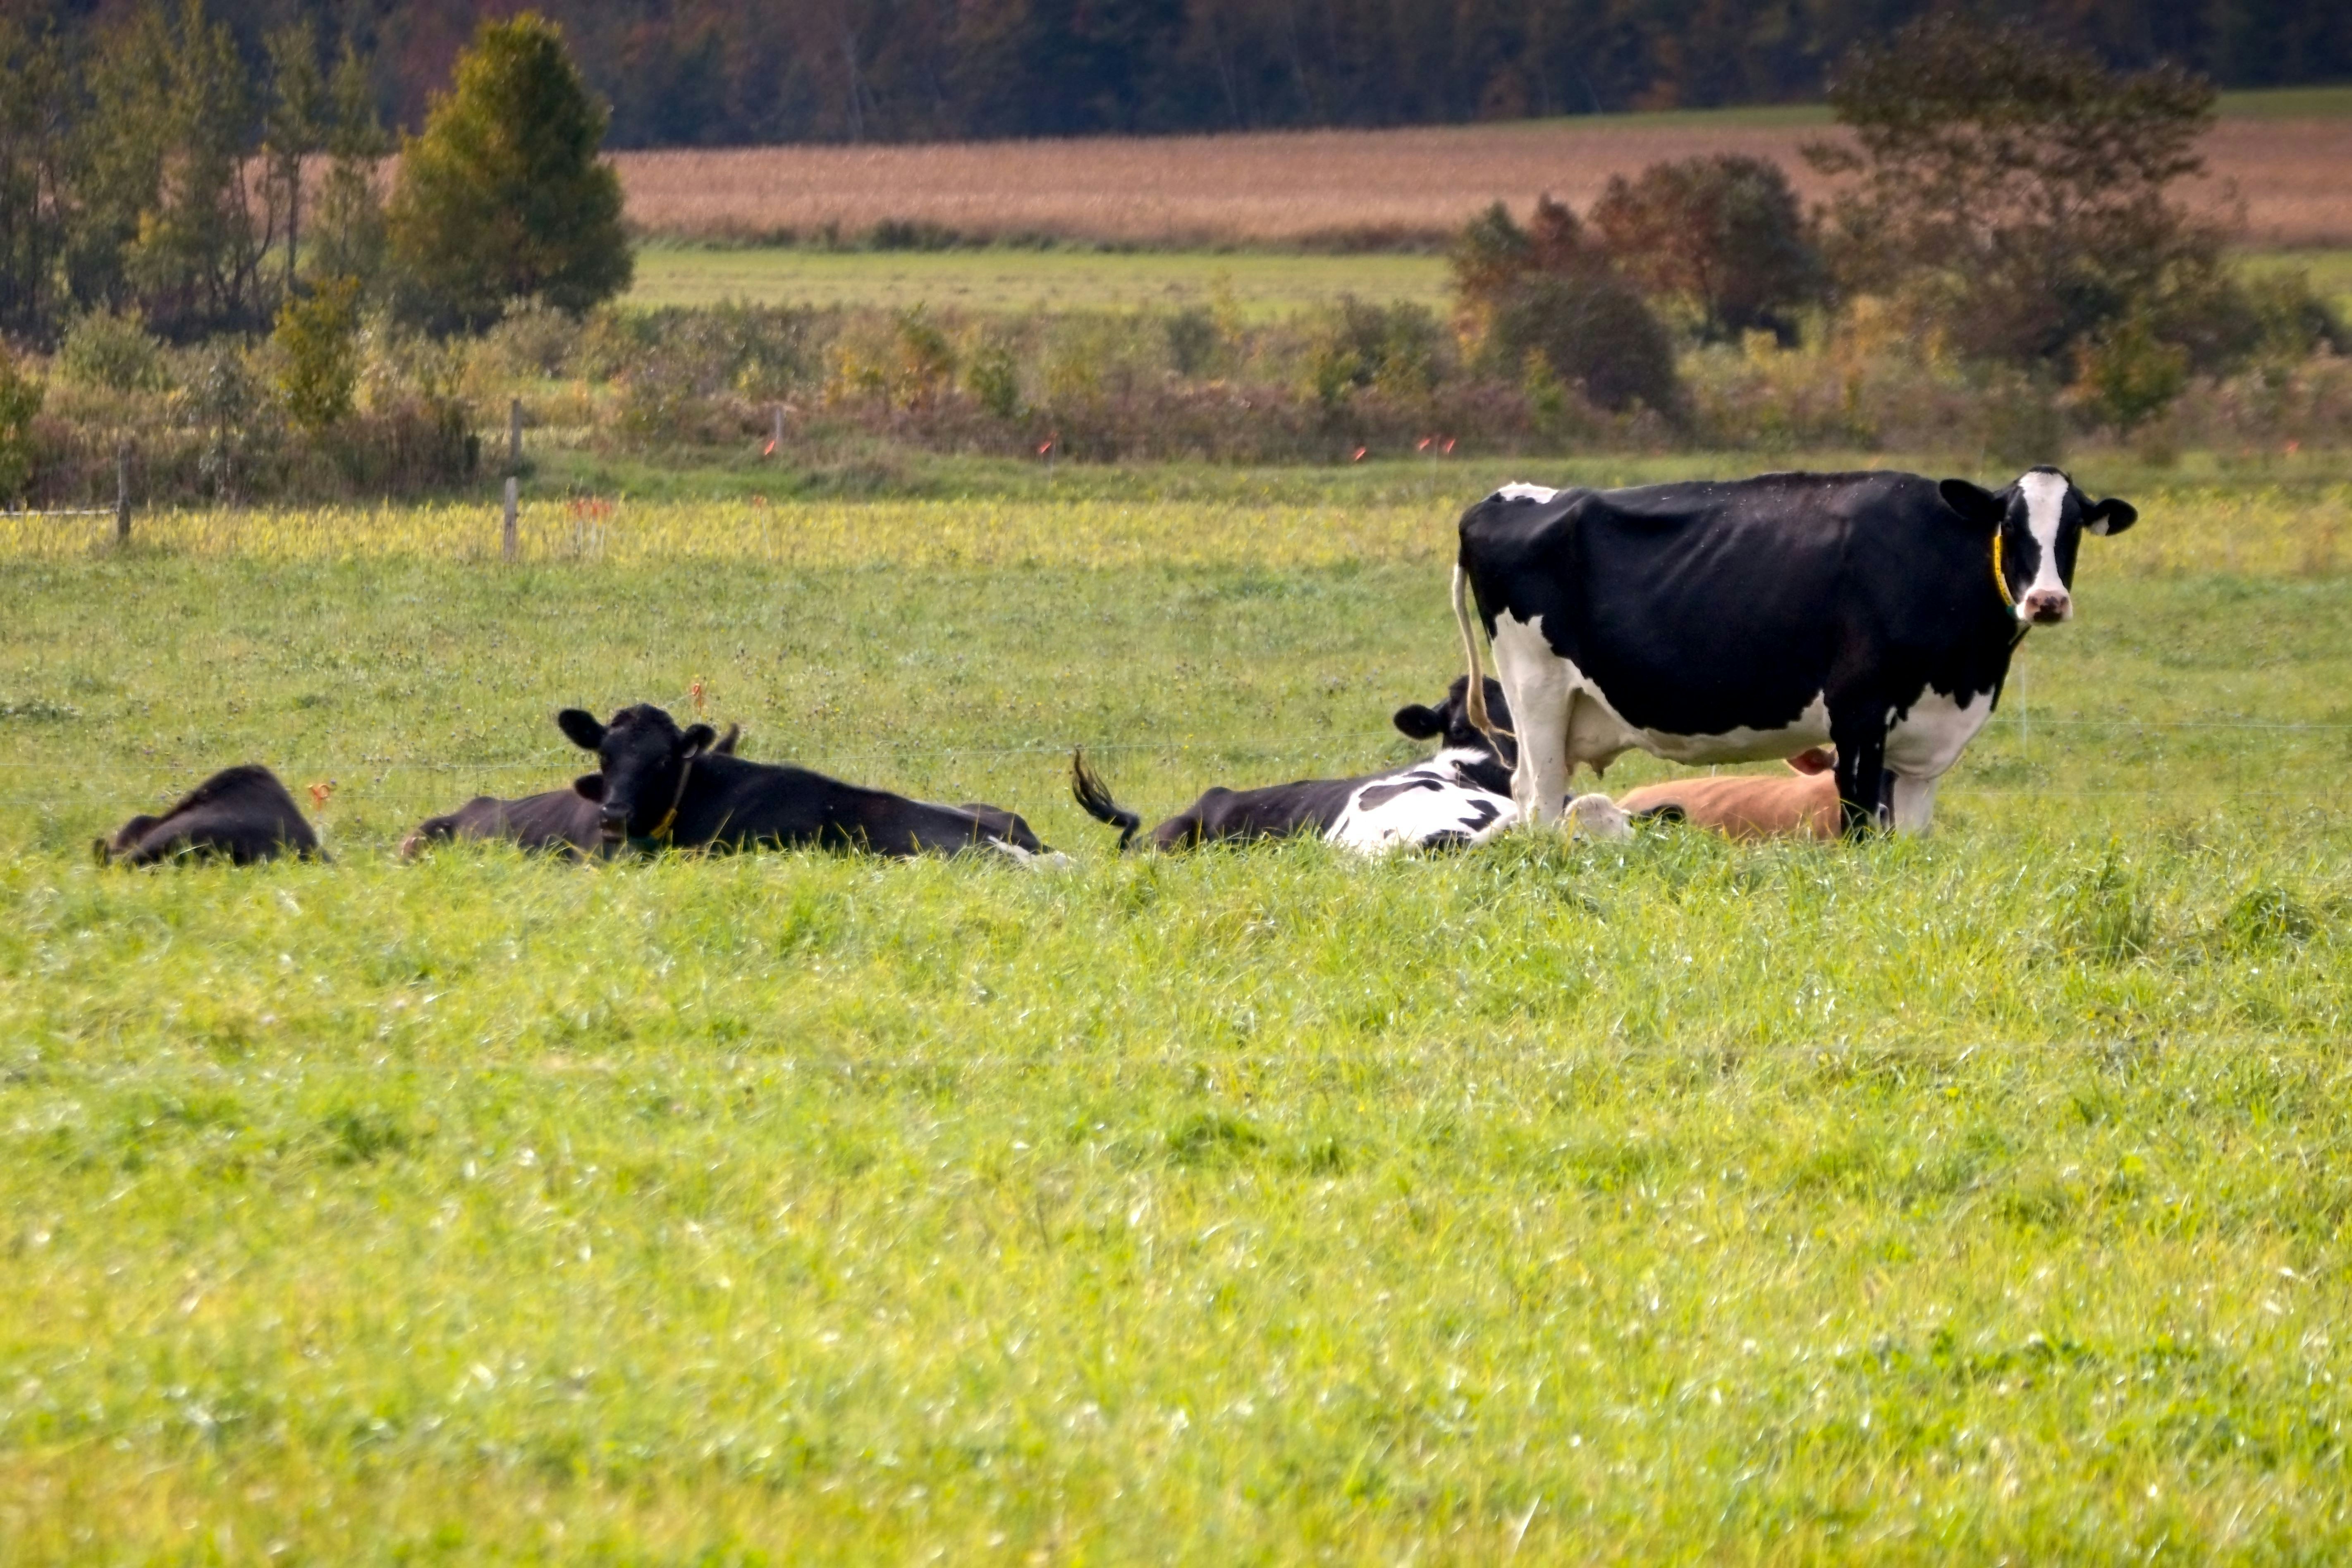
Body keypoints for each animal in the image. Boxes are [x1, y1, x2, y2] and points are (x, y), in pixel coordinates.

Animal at [1452, 468, 2136, 836]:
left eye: (2074, 528)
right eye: (2009, 525)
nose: (2046, 600)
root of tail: (1502, 497)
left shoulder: (1926, 743)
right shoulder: (1858, 714)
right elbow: (1859, 826)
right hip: (1537, 691)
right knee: (1540, 797)